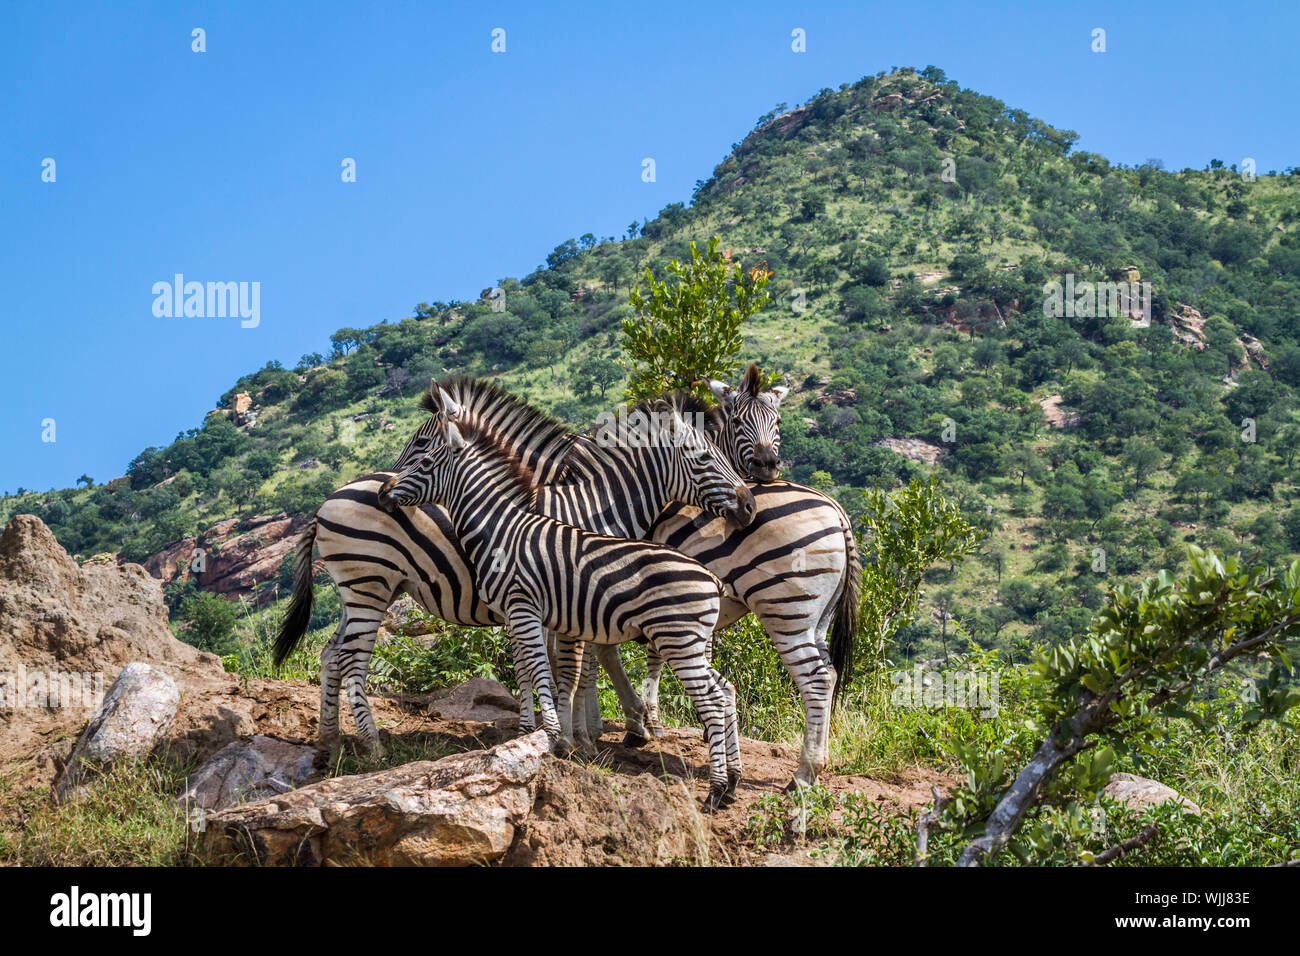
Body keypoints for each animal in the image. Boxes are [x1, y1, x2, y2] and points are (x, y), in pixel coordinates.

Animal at [273, 383, 755, 755]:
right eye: (707, 459)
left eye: (422, 445)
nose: (750, 505)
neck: (589, 504)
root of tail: (325, 503)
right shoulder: (565, 596)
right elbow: (571, 669)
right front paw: (574, 735)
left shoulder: (569, 598)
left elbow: (561, 666)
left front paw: (567, 731)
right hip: (368, 585)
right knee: (352, 659)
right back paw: (371, 745)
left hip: (364, 590)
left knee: (332, 654)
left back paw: (330, 741)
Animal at [377, 410, 743, 811]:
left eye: (425, 459)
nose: (382, 493)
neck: (501, 530)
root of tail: (710, 576)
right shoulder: (530, 614)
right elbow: (536, 671)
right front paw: (539, 735)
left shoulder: (525, 608)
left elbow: (545, 671)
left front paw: (555, 737)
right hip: (686, 641)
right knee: (725, 691)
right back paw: (730, 784)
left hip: (679, 640)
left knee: (715, 698)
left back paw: (716, 791)